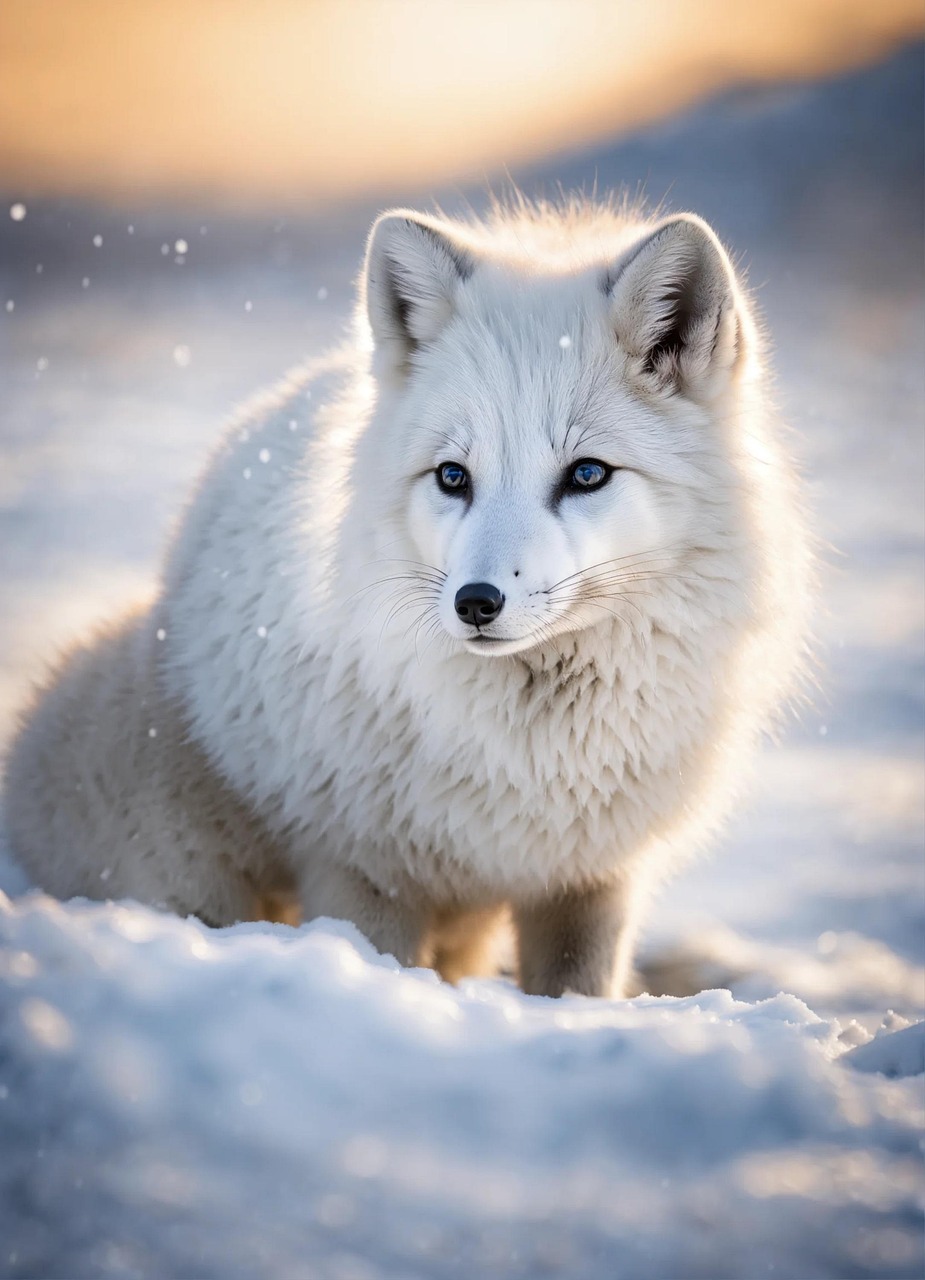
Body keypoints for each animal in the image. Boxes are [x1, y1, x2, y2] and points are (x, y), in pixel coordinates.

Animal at [2, 198, 809, 998]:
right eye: (453, 477)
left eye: (586, 474)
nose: (476, 603)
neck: (530, 752)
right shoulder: (357, 866)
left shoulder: (592, 879)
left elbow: (577, 989)